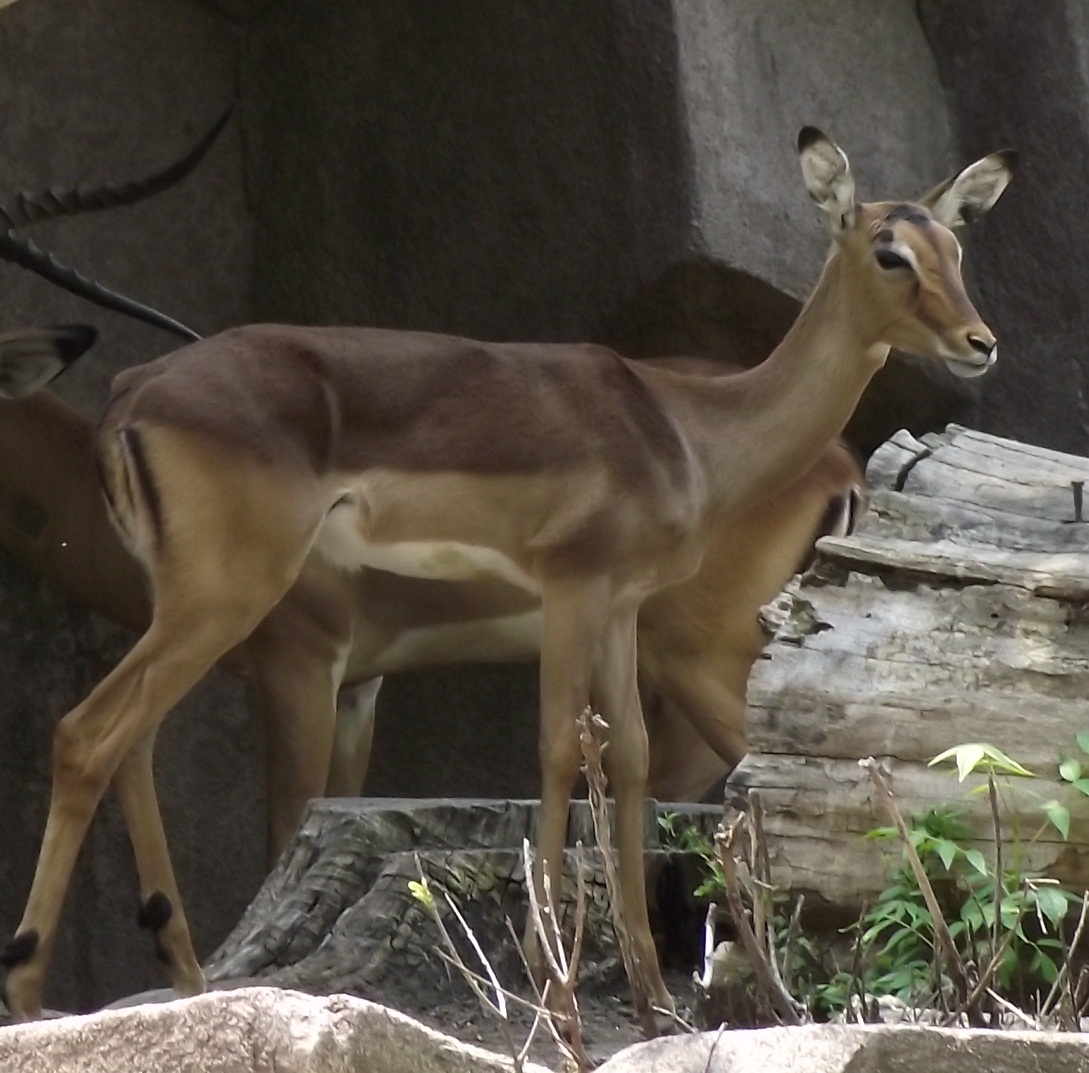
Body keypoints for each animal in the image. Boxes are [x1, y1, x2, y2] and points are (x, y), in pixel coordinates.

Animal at [0, 127, 1013, 1026]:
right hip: (224, 601)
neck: (690, 430)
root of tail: (130, 394)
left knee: (117, 737)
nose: (981, 341)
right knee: (89, 733)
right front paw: (552, 984)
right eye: (888, 250)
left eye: (956, 244)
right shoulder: (562, 595)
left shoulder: (610, 610)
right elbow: (560, 751)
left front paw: (647, 1000)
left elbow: (624, 758)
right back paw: (32, 986)